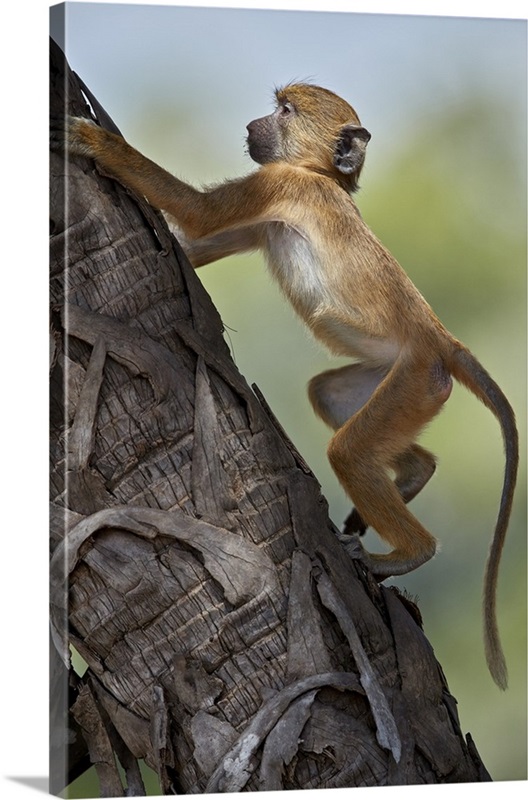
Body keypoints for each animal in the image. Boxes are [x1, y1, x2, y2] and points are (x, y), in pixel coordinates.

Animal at [52, 82, 518, 689]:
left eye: (285, 110)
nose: (253, 124)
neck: (323, 177)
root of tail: (439, 337)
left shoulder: (281, 184)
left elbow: (198, 215)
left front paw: (95, 142)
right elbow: (195, 245)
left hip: (417, 377)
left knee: (350, 451)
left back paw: (408, 551)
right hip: (402, 377)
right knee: (332, 397)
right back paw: (415, 473)